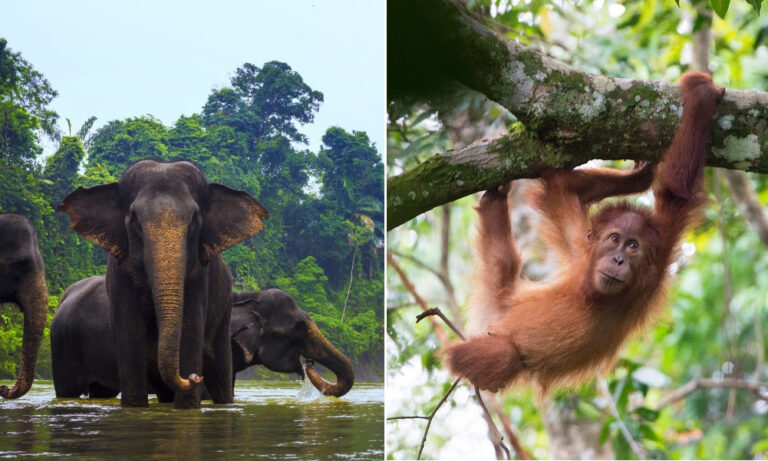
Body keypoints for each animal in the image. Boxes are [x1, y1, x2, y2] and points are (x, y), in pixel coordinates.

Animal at [59, 160, 268, 408]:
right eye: (135, 220)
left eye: (194, 219)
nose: (194, 377)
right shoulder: (119, 273)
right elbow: (129, 333)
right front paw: (135, 408)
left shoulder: (199, 274)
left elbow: (190, 331)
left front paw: (186, 408)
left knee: (220, 375)